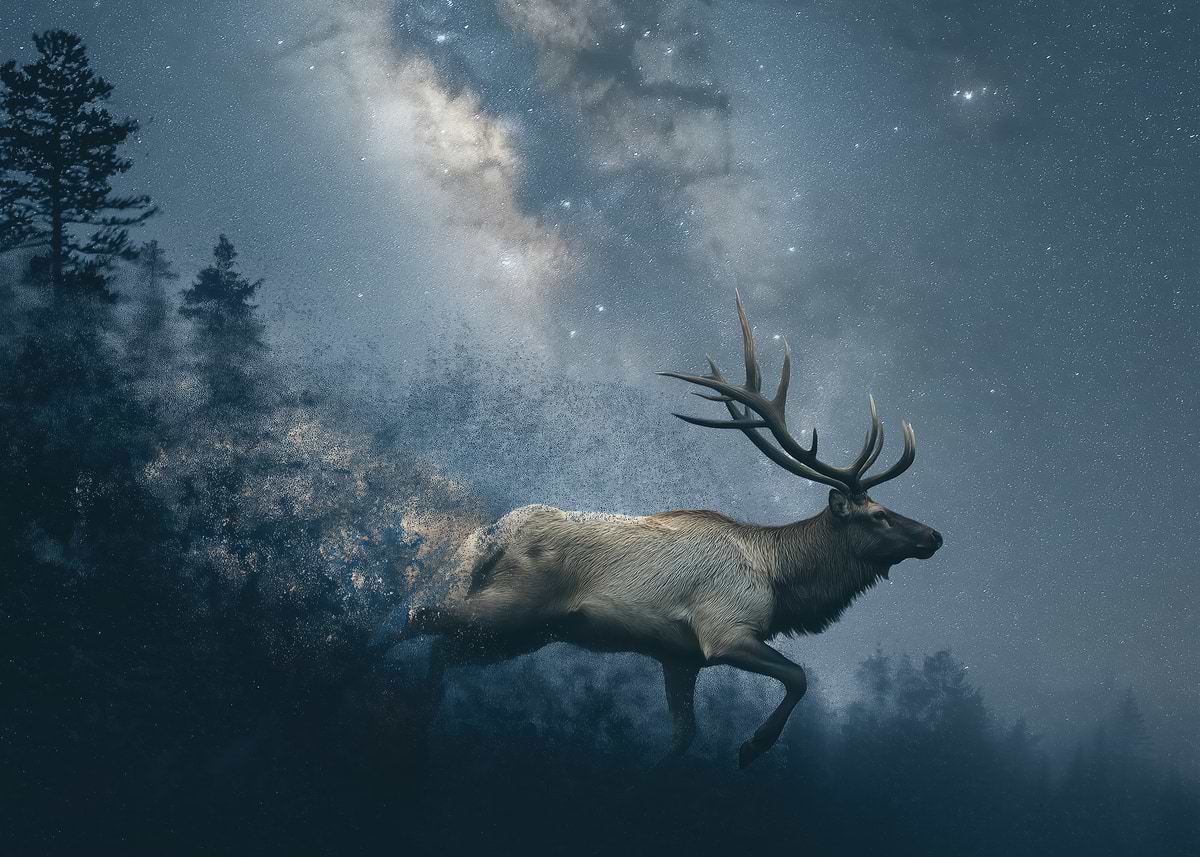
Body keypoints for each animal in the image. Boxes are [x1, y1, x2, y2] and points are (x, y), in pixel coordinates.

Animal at [382, 291, 943, 768]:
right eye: (878, 515)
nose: (934, 536)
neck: (781, 581)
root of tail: (491, 534)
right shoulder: (725, 630)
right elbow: (799, 676)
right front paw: (753, 745)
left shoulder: (680, 658)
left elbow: (682, 737)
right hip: (512, 606)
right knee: (419, 616)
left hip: (526, 633)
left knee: (441, 645)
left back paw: (419, 720)